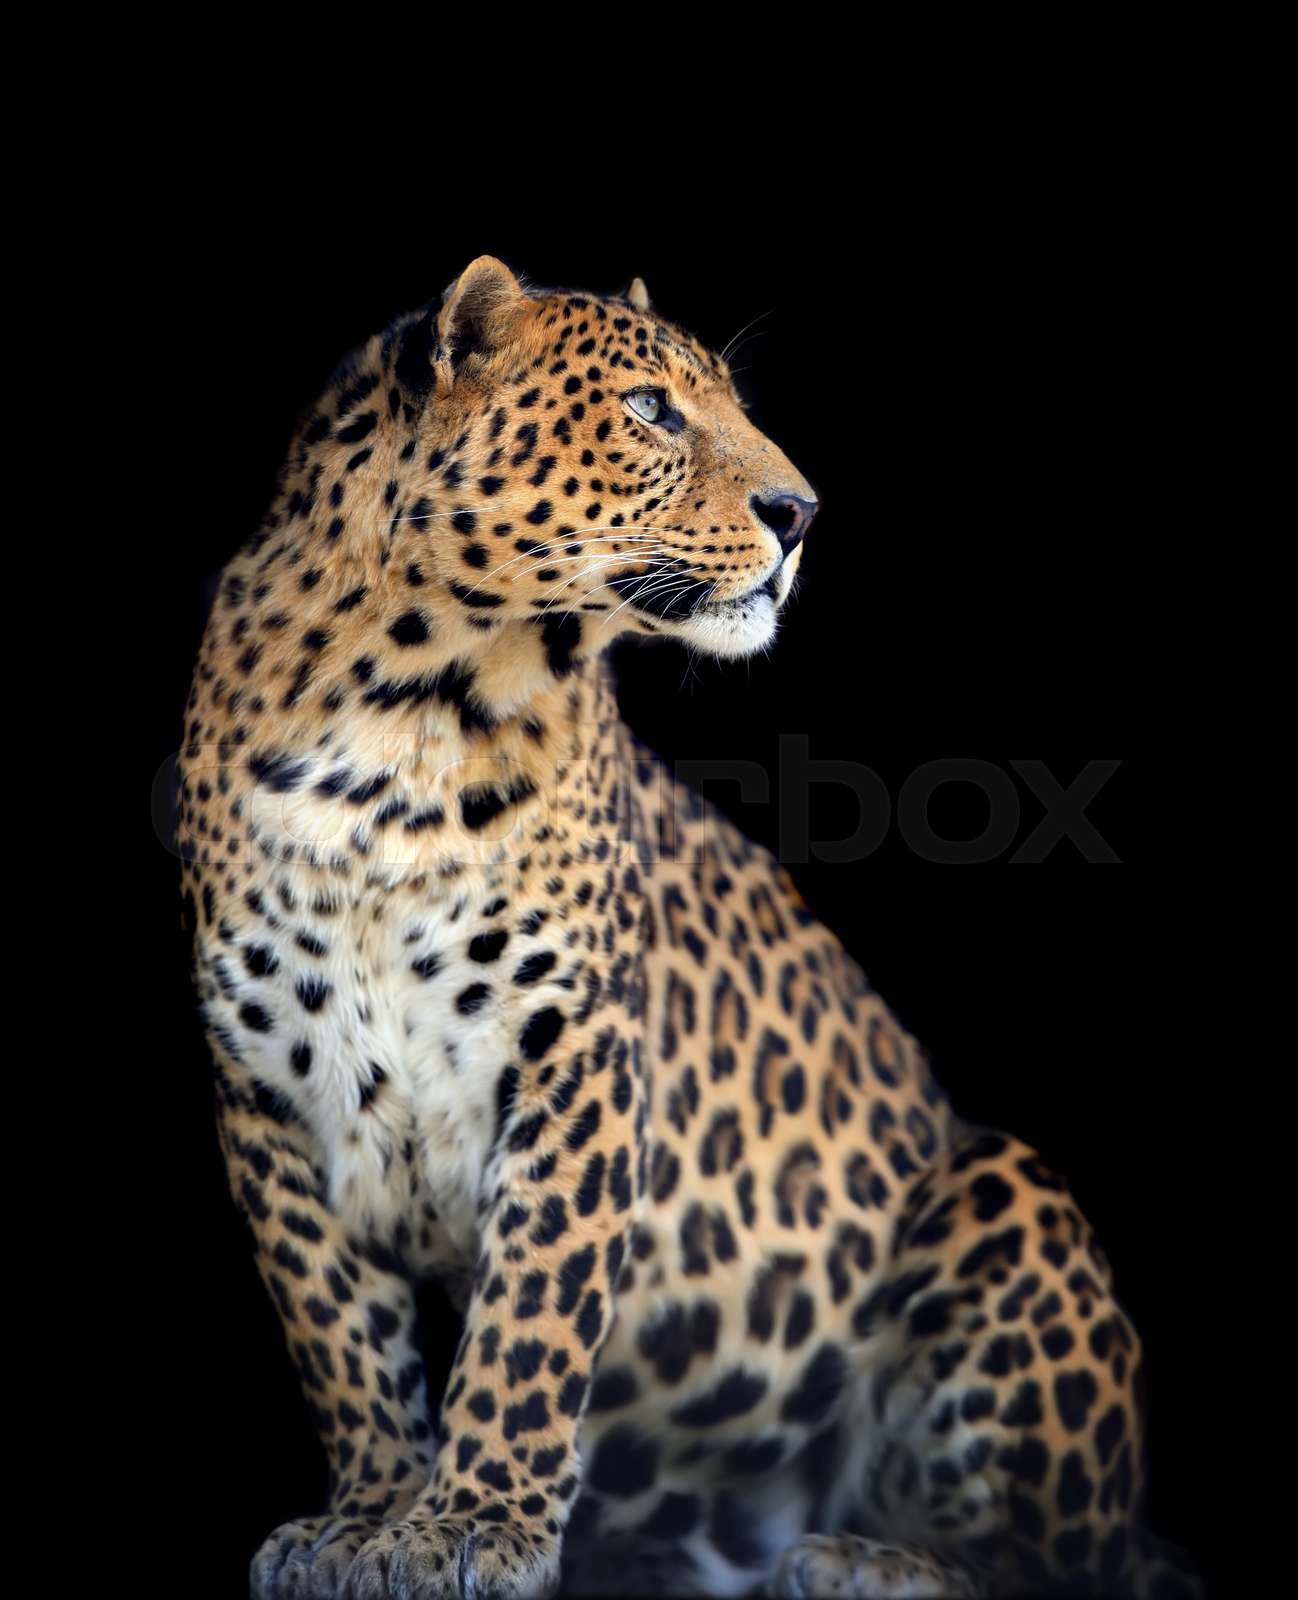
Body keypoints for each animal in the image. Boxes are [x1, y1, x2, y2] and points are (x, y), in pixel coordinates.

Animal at [178, 258, 1200, 1599]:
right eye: (650, 409)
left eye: (723, 403)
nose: (800, 511)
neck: (400, 713)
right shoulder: (264, 1089)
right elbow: (337, 1329)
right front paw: (371, 1516)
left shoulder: (573, 1050)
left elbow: (529, 1317)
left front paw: (472, 1526)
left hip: (1001, 1187)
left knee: (1057, 1557)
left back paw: (869, 1558)